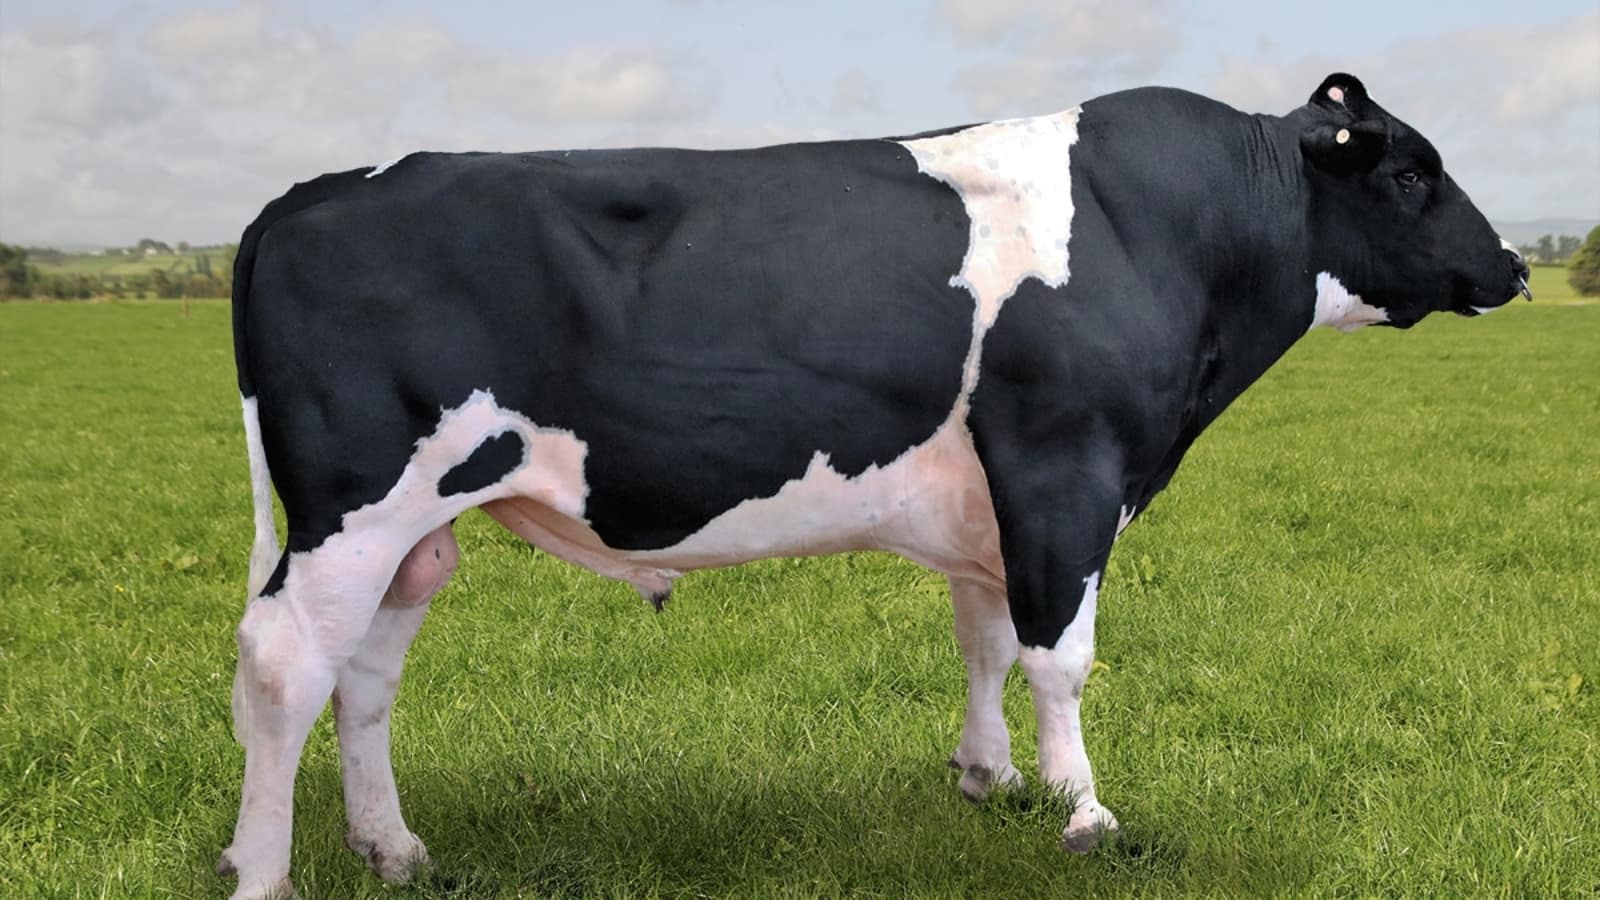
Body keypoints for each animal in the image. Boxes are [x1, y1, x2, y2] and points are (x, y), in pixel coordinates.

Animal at [216, 73, 1530, 898]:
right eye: (1408, 177)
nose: (1515, 267)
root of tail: (309, 191)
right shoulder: (1067, 465)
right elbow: (1061, 654)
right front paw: (1084, 812)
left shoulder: (997, 498)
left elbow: (988, 638)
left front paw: (990, 779)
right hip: (356, 504)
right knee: (284, 665)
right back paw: (264, 872)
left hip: (410, 532)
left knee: (363, 675)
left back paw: (394, 852)